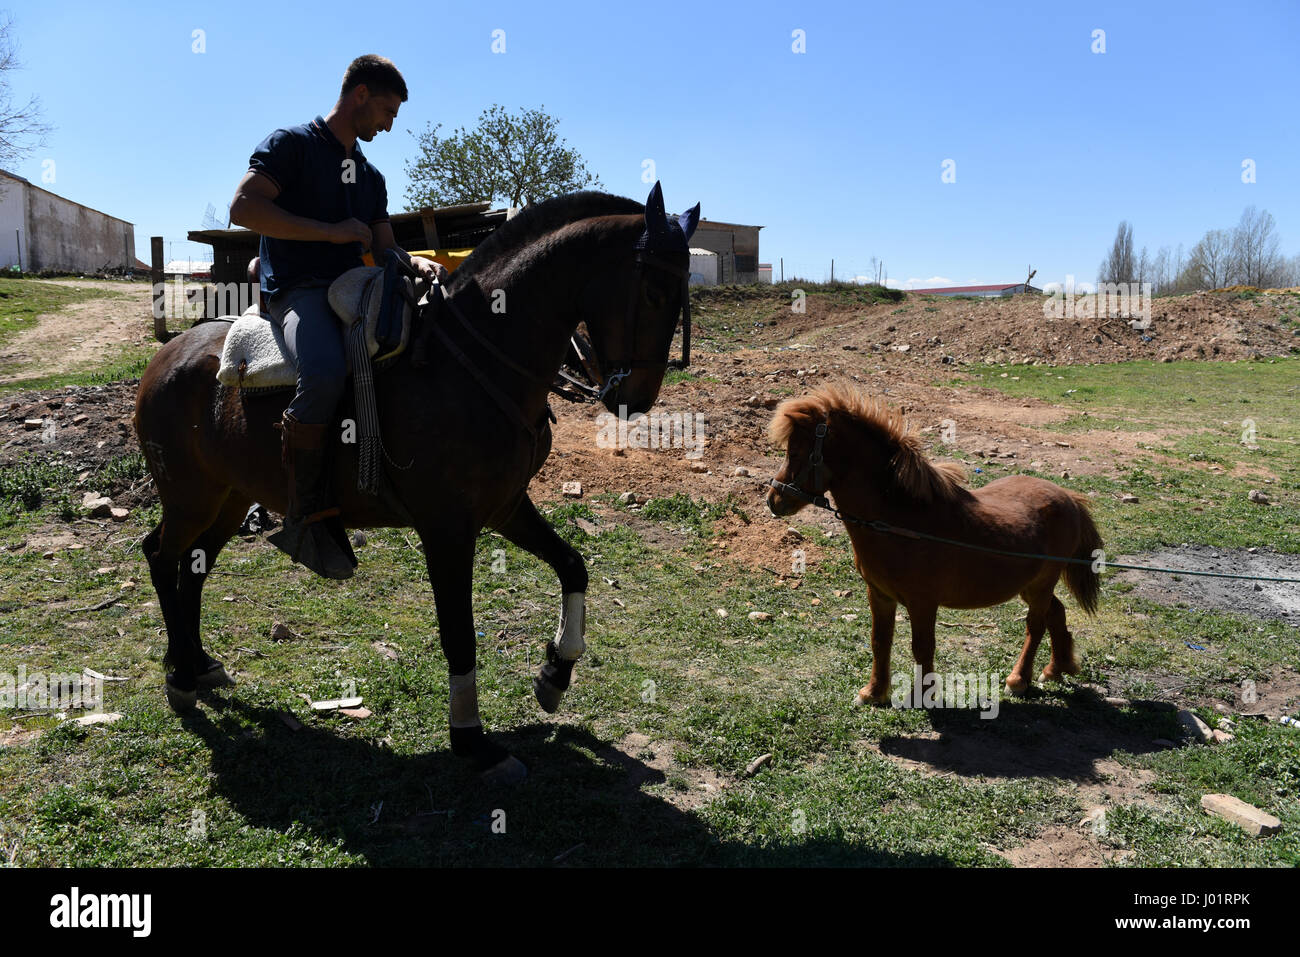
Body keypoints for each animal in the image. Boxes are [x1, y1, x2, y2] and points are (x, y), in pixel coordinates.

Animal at [133, 183, 700, 784]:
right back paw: (180, 677)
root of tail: (166, 355)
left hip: (227, 496)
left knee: (192, 568)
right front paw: (472, 741)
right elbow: (459, 633)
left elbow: (573, 565)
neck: (475, 359)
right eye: (654, 291)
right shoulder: (446, 528)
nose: (634, 398)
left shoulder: (504, 506)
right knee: (160, 557)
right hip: (191, 497)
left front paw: (555, 673)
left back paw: (196, 664)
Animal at [765, 384, 1102, 707]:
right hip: (1029, 585)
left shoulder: (923, 601)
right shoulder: (880, 595)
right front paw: (874, 693)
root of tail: (1068, 497)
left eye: (797, 452)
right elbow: (880, 641)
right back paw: (1056, 669)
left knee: (1036, 626)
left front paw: (924, 695)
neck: (900, 520)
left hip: (1042, 583)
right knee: (1055, 612)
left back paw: (1018, 680)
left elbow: (922, 646)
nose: (774, 500)